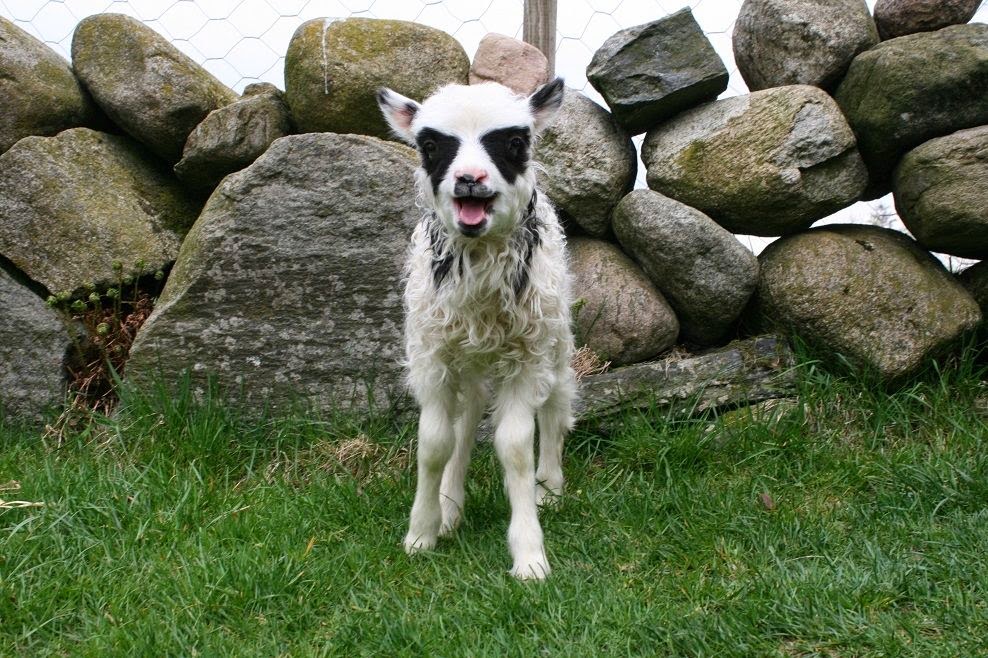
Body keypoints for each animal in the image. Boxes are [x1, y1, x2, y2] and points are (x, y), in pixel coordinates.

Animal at [377, 79, 575, 580]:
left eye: (515, 142)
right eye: (429, 146)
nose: (470, 178)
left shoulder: (526, 356)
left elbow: (515, 447)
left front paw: (530, 556)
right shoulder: (432, 355)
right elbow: (434, 444)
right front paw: (421, 533)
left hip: (556, 337)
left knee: (558, 404)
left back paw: (551, 487)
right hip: (466, 359)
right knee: (464, 423)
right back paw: (450, 507)